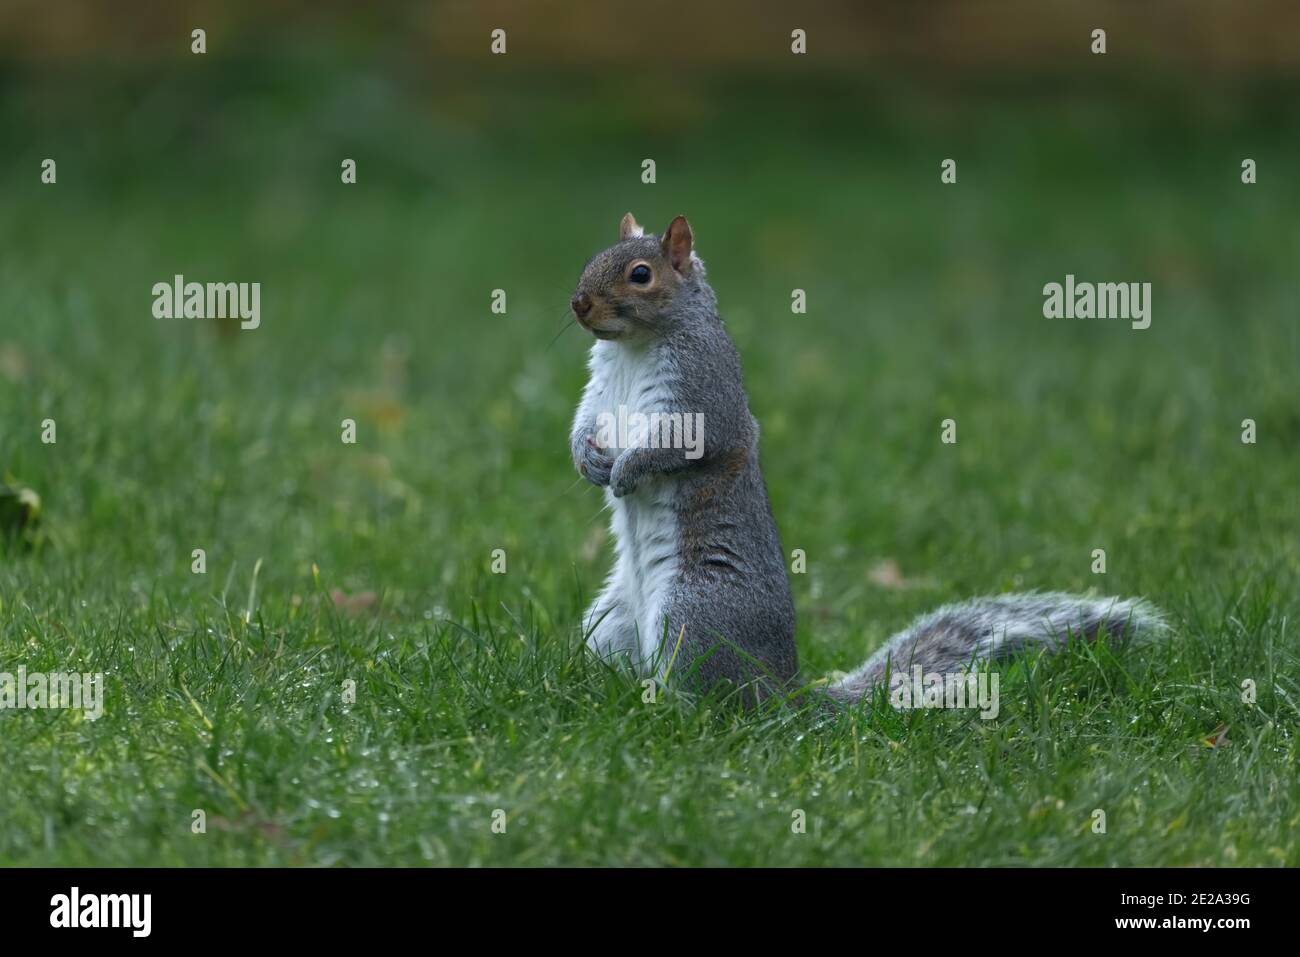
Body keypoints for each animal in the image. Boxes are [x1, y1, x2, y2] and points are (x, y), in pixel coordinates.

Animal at [568, 213, 1167, 706]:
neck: (634, 346)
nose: (578, 304)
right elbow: (583, 424)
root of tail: (781, 693)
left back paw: (670, 708)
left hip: (694, 615)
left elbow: (684, 443)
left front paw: (626, 469)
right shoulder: (598, 392)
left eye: (640, 275)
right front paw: (587, 461)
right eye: (593, 258)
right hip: (610, 621)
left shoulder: (703, 390)